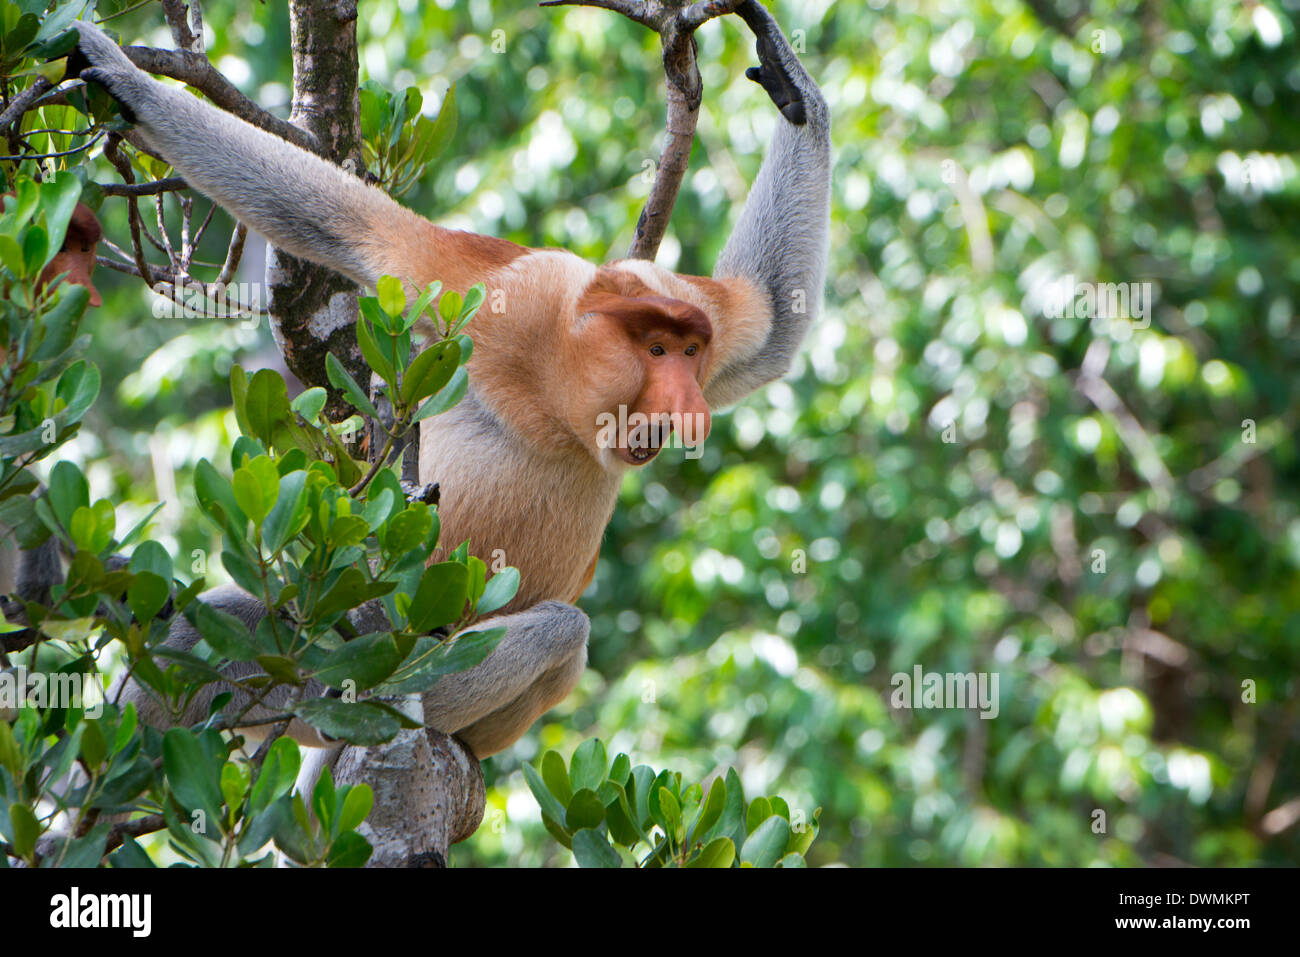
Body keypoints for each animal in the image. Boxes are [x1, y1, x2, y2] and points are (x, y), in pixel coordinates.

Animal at [65, 3, 826, 759]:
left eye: (693, 351)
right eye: (657, 348)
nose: (690, 402)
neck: (559, 399)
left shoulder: (697, 307)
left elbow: (766, 320)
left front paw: (794, 93)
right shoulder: (504, 294)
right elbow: (352, 224)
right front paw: (126, 81)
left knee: (563, 631)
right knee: (202, 626)